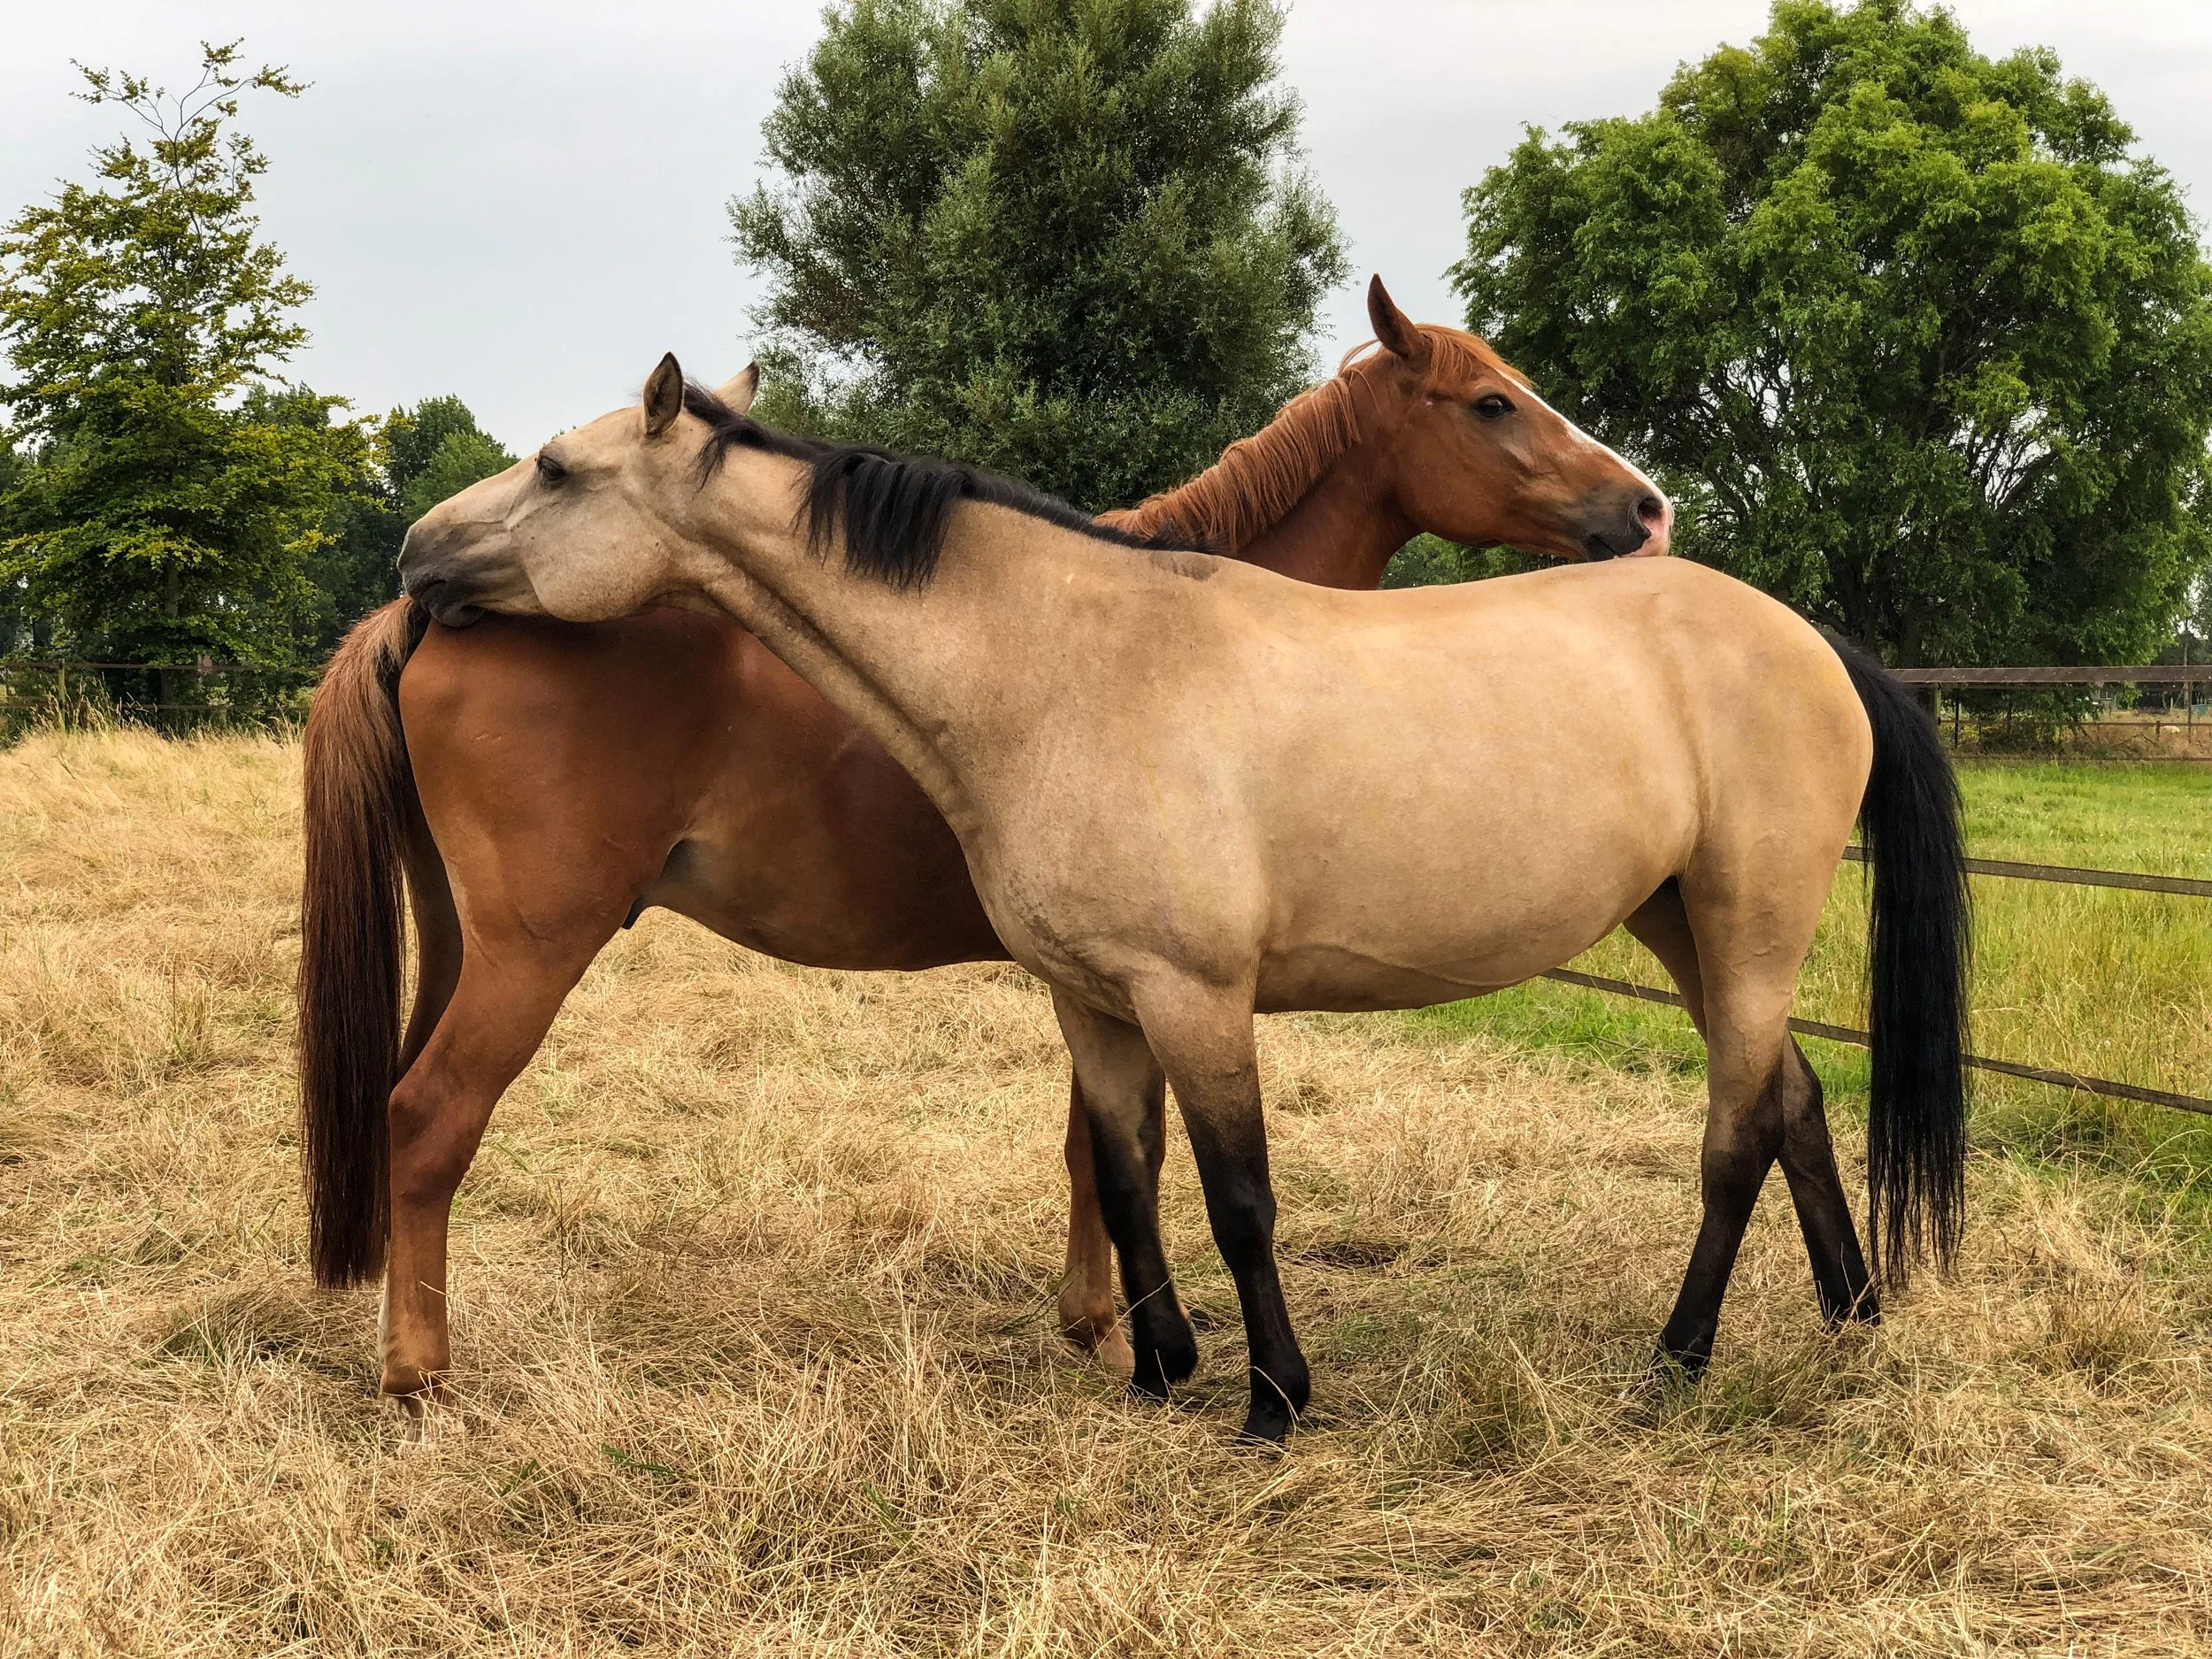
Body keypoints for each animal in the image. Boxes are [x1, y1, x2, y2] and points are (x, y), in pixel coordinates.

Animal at [393, 354, 1970, 1444]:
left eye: (554, 468)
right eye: (1490, 399)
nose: (417, 555)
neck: (1062, 661)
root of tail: (1811, 641)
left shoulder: (1197, 995)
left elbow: (1239, 1192)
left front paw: (1272, 1397)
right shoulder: (1095, 999)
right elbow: (1126, 1171)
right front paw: (1158, 1369)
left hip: (1748, 924)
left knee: (1734, 1136)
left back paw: (1677, 1358)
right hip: (1686, 924)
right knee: (1794, 1102)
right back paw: (1851, 1316)